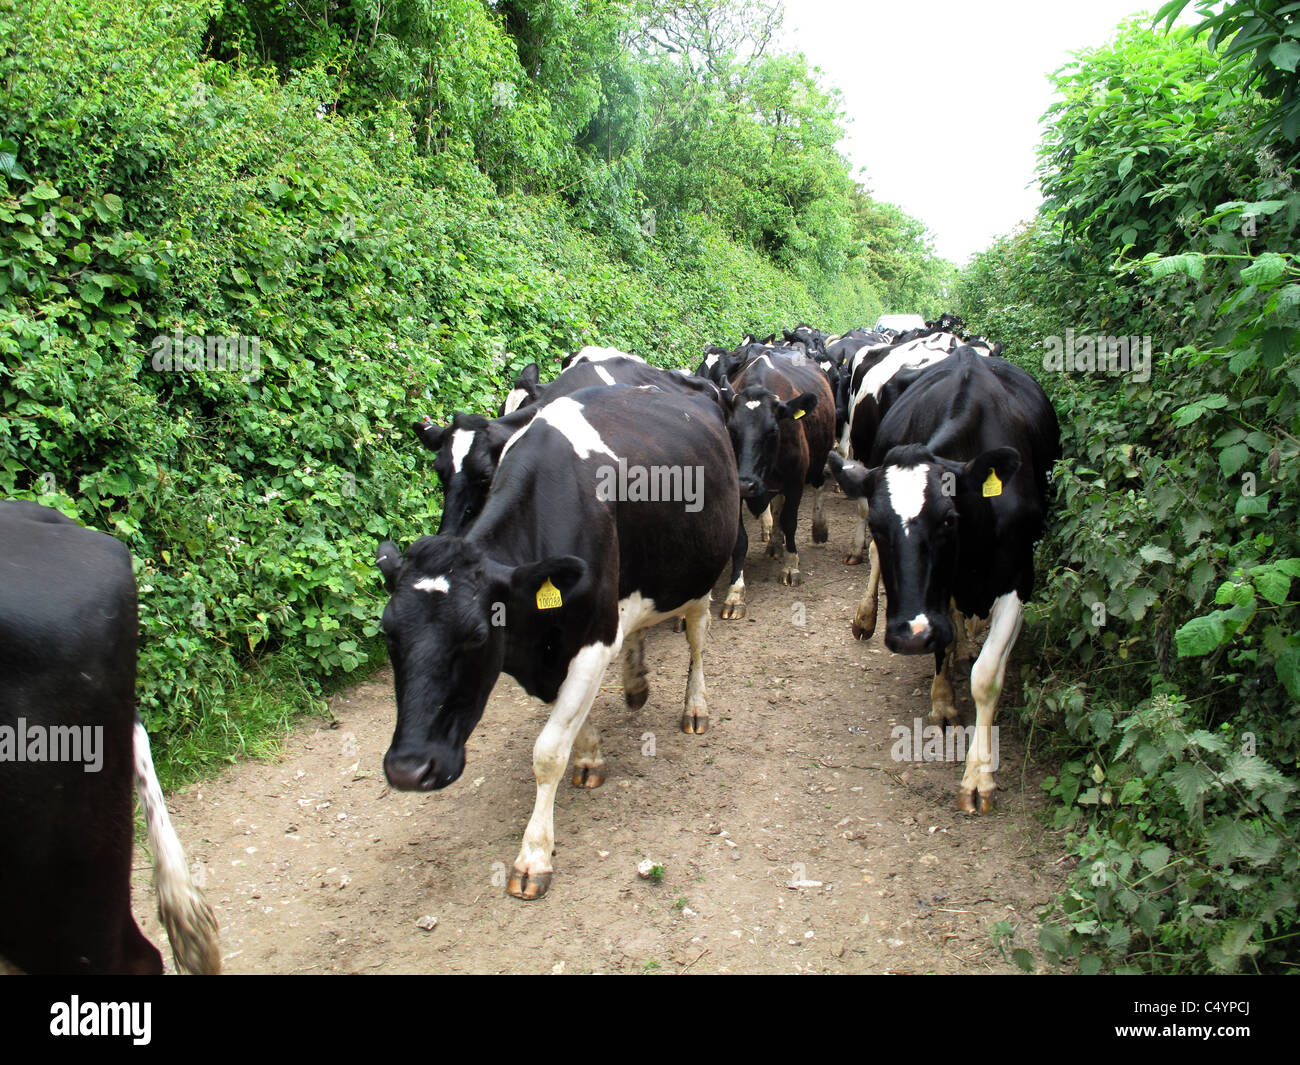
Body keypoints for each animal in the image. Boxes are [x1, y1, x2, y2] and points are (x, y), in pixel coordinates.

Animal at [379, 382, 738, 899]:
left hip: (699, 577)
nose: (409, 769)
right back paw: (634, 682)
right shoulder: (545, 652)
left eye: (477, 634)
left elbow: (547, 752)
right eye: (388, 633)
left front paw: (533, 856)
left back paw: (695, 706)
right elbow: (569, 720)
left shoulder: (593, 639)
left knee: (696, 640)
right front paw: (589, 754)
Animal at [722, 351, 832, 616]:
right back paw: (774, 544)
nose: (746, 484)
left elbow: (790, 522)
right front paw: (735, 592)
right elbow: (740, 540)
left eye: (772, 430)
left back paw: (817, 530)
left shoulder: (795, 483)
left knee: (817, 487)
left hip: (818, 462)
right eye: (732, 429)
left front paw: (791, 566)